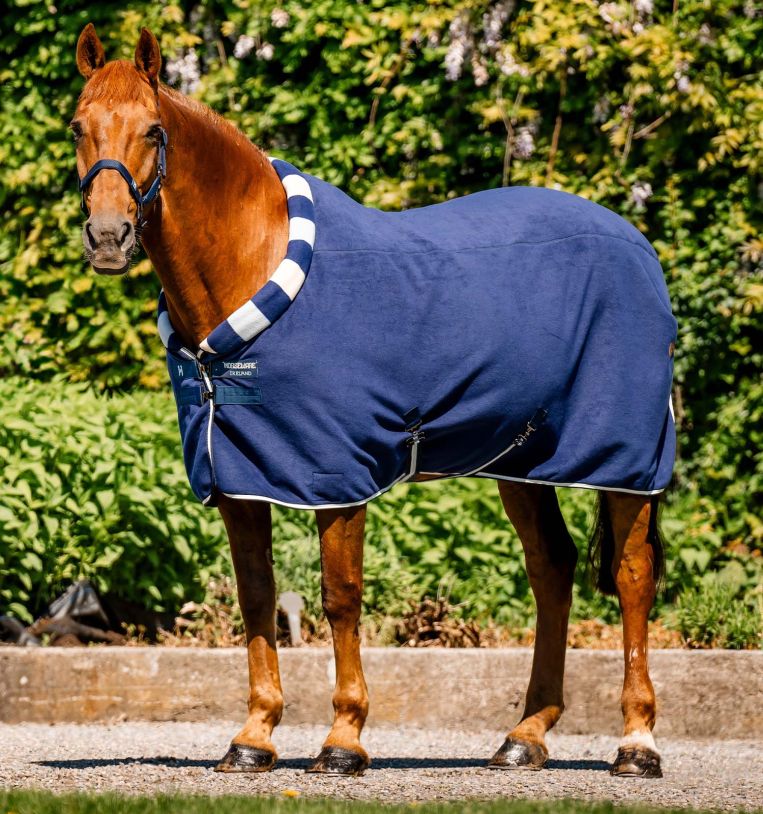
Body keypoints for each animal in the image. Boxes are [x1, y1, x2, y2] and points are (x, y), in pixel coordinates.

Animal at [71, 24, 674, 780]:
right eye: (78, 127)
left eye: (153, 130)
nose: (108, 238)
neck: (258, 268)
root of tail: (635, 244)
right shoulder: (239, 477)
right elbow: (256, 595)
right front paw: (253, 737)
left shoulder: (337, 477)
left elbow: (340, 598)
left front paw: (343, 740)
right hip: (523, 462)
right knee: (552, 570)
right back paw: (525, 737)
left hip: (624, 458)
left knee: (631, 576)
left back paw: (637, 743)